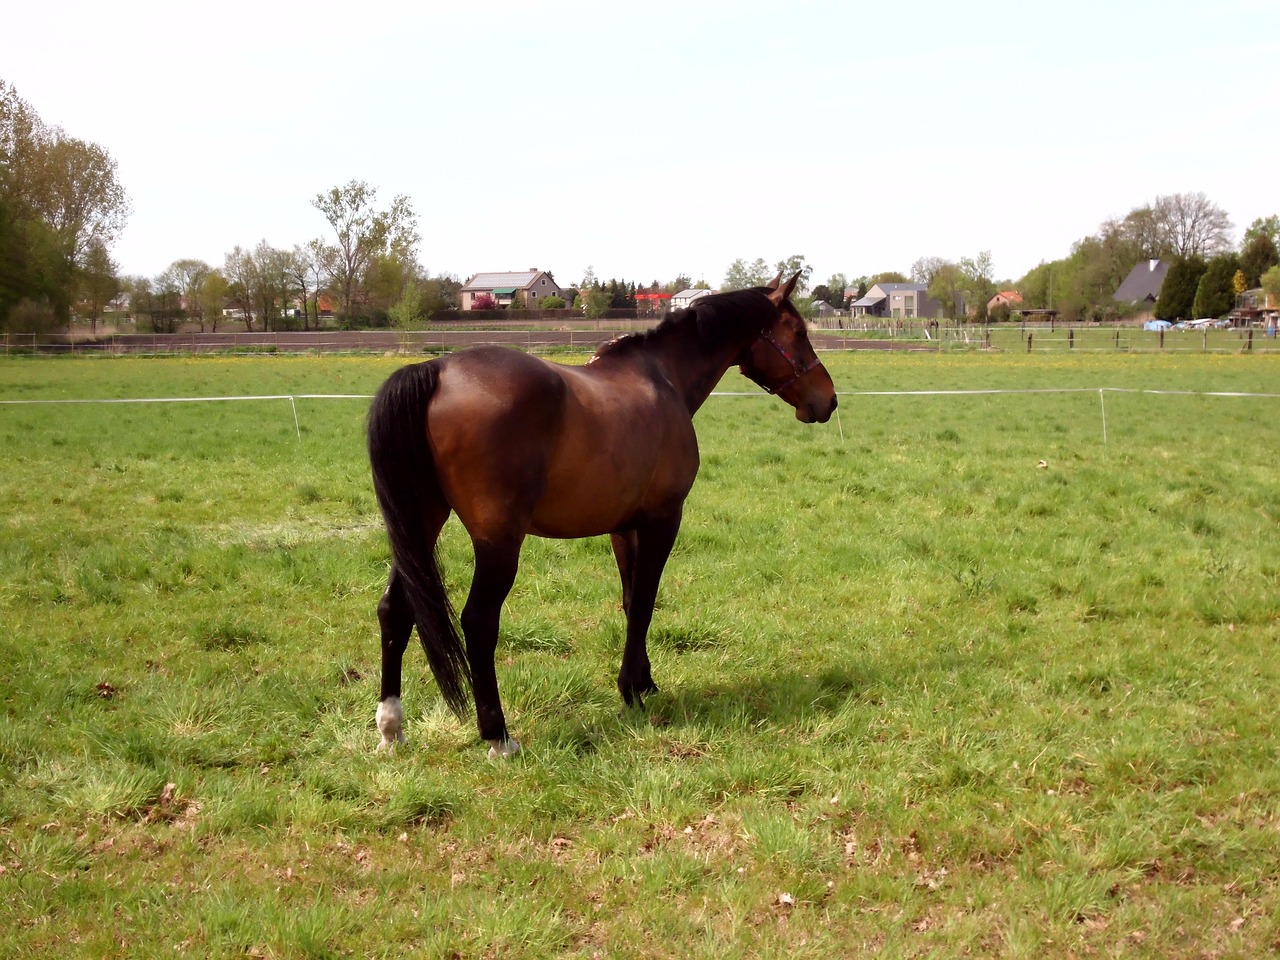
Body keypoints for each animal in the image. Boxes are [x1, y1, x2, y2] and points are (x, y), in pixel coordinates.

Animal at [366, 272, 837, 758]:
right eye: (798, 332)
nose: (829, 400)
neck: (663, 378)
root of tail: (436, 372)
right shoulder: (663, 519)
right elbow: (646, 600)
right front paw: (631, 689)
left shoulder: (623, 527)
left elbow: (631, 601)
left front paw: (643, 681)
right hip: (497, 541)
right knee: (478, 621)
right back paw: (498, 735)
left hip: (421, 525)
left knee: (395, 610)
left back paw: (391, 728)